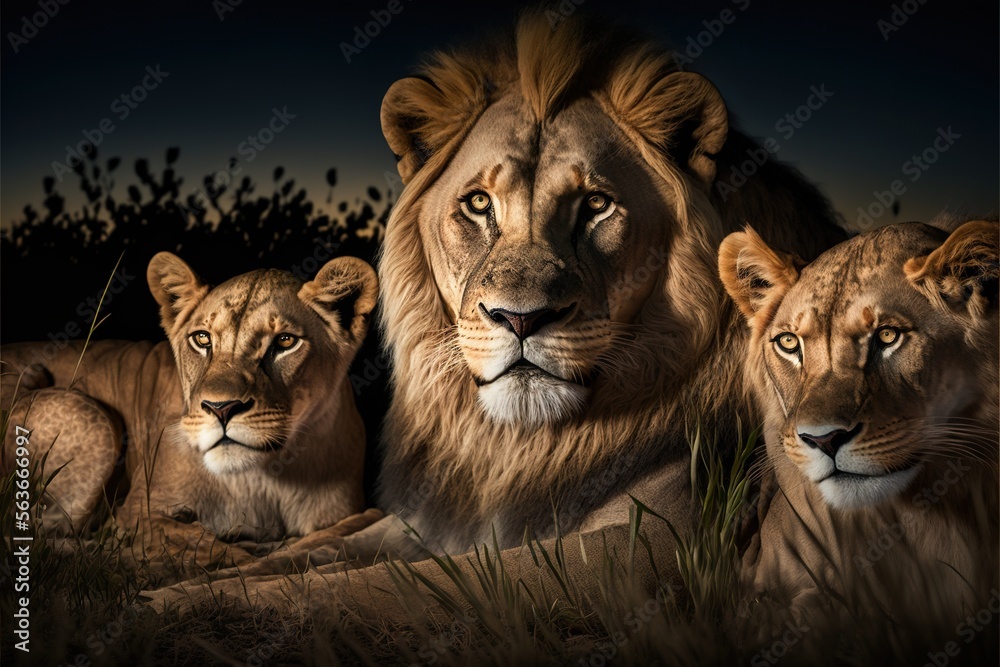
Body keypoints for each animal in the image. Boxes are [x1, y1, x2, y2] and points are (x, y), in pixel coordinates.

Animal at [1, 252, 381, 573]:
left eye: (285, 342)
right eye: (202, 339)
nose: (221, 408)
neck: (264, 482)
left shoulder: (341, 511)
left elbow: (343, 526)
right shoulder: (136, 513)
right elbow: (211, 548)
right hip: (94, 421)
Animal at [142, 11, 847, 616]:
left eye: (596, 205)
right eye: (479, 204)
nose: (520, 319)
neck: (518, 445)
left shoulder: (651, 548)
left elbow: (382, 584)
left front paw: (186, 604)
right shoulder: (437, 517)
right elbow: (323, 548)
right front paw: (188, 584)